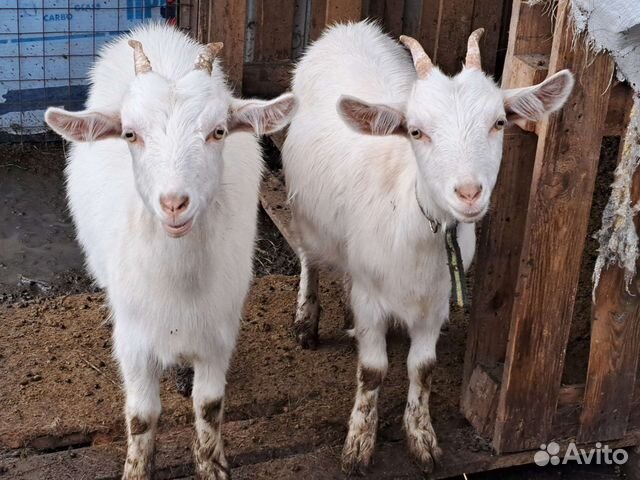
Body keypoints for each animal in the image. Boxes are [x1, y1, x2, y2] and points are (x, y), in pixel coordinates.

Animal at [44, 23, 296, 480]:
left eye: (218, 131)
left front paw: (211, 463)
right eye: (130, 133)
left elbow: (209, 406)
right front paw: (137, 468)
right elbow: (141, 415)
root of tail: (155, 30)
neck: (179, 277)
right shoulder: (133, 337)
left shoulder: (218, 329)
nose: (174, 204)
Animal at [281, 21, 573, 474]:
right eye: (417, 131)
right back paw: (306, 320)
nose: (469, 193)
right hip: (302, 209)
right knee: (310, 259)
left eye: (499, 122)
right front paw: (359, 444)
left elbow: (423, 368)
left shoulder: (435, 301)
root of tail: (348, 28)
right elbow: (373, 370)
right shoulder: (372, 297)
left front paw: (422, 439)